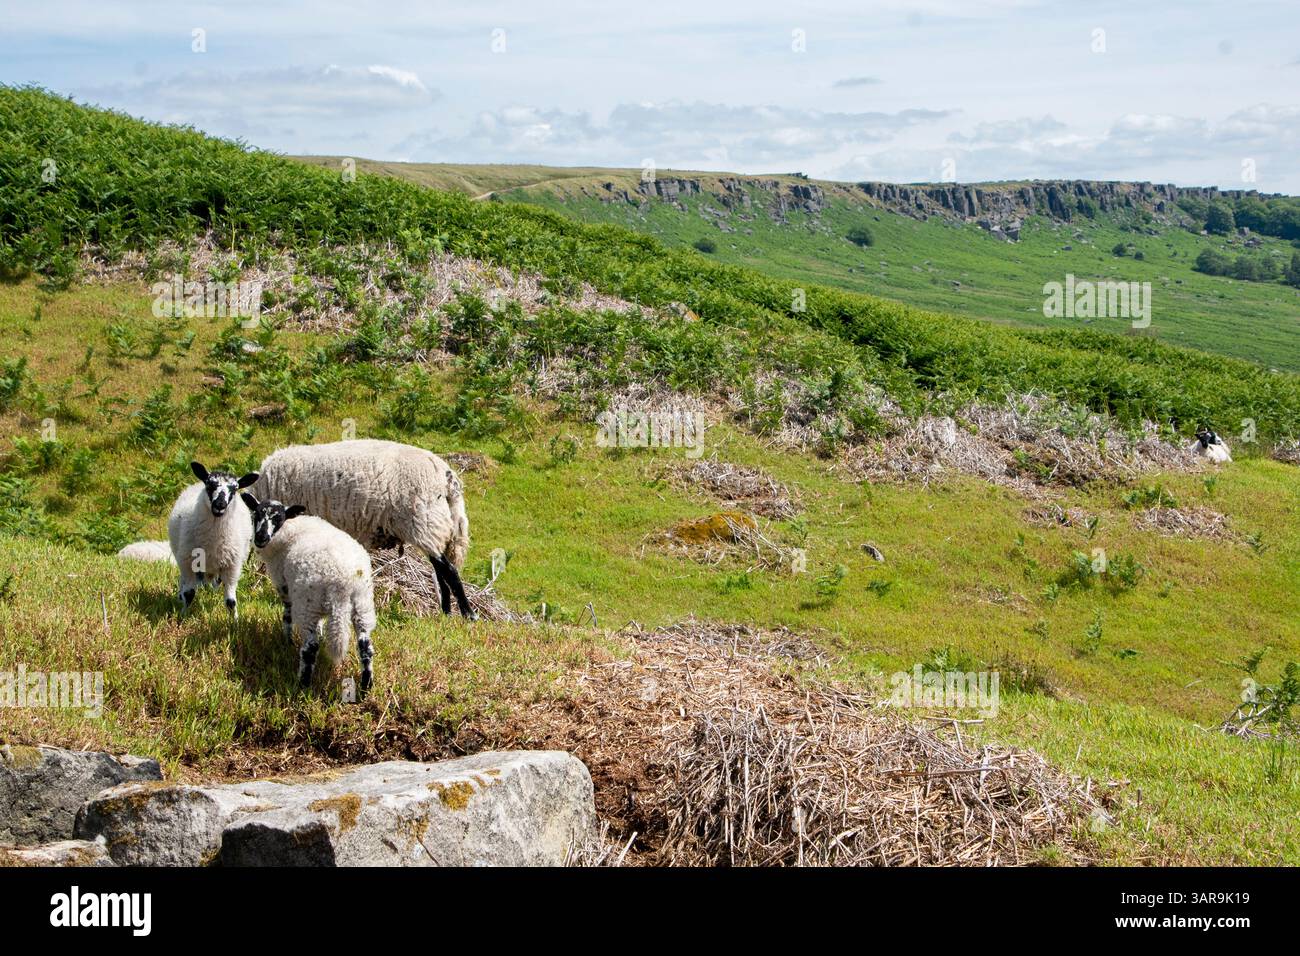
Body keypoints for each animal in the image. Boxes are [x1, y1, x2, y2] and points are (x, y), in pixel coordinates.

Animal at [167, 462, 260, 617]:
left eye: (234, 489)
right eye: (209, 484)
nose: (220, 505)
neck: (213, 541)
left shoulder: (232, 567)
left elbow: (231, 601)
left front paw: (235, 620)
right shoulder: (188, 562)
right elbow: (189, 593)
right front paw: (182, 616)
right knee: (184, 581)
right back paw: (180, 596)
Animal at [240, 492, 377, 694]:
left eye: (278, 518)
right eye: (256, 514)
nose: (260, 537)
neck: (289, 529)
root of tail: (341, 582)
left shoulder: (284, 586)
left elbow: (287, 616)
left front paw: (286, 642)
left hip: (307, 604)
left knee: (310, 647)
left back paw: (303, 685)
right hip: (362, 604)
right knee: (365, 645)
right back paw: (366, 686)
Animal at [251, 439, 475, 619]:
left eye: (276, 518)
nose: (259, 539)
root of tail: (447, 476)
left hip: (424, 523)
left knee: (449, 571)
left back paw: (469, 615)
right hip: (435, 527)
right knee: (441, 572)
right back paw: (446, 614)